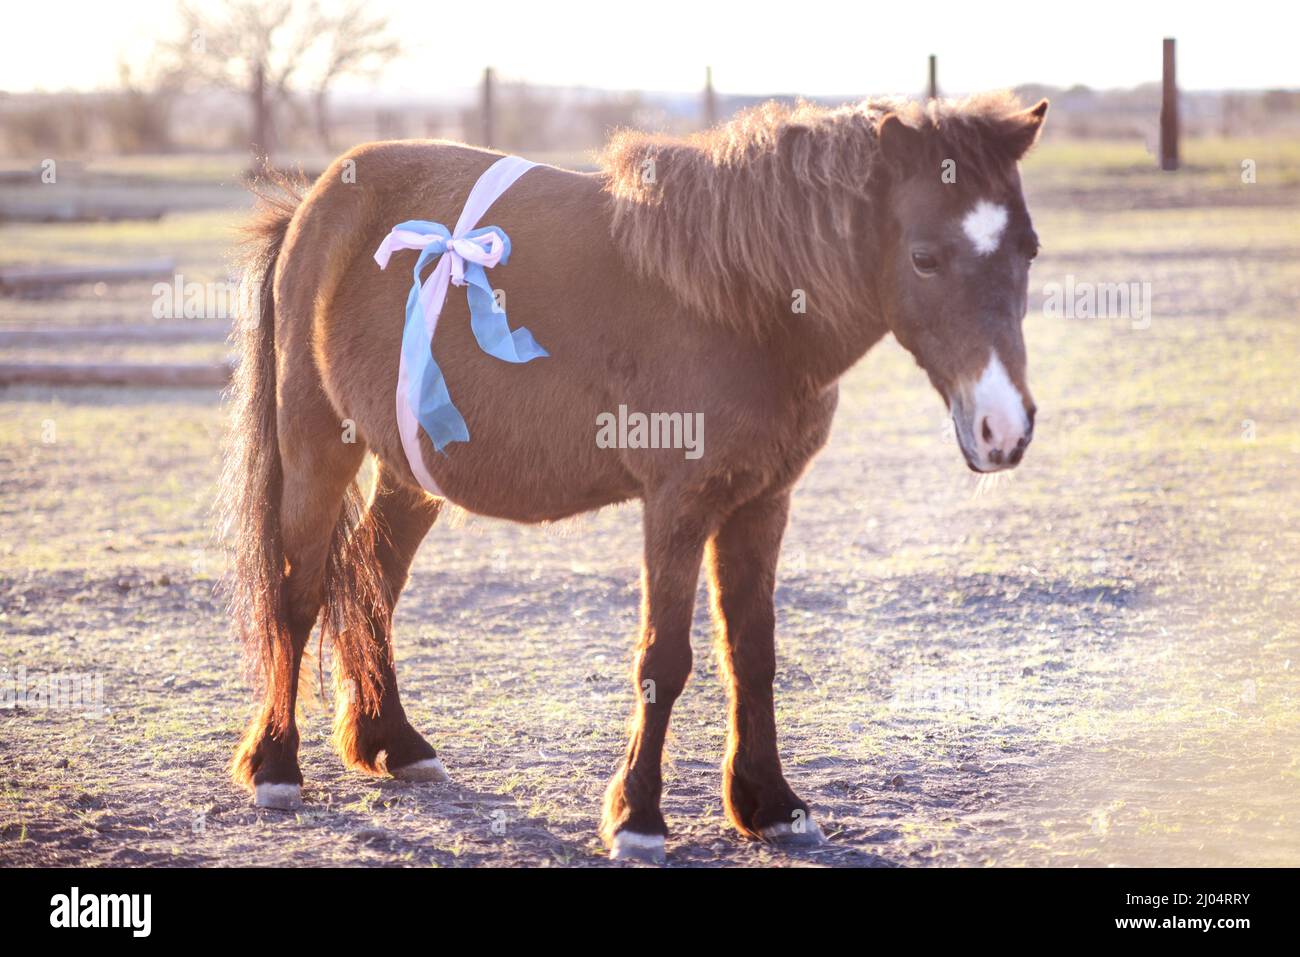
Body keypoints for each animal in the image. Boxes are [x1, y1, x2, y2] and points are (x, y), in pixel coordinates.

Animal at [221, 91, 1047, 863]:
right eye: (926, 257)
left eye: (1028, 250)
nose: (1003, 429)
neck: (740, 301)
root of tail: (312, 205)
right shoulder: (678, 505)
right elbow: (665, 658)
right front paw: (638, 817)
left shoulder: (761, 502)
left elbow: (753, 651)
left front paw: (771, 803)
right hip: (317, 443)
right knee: (299, 591)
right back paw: (277, 765)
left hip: (408, 472)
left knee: (369, 579)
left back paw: (392, 740)